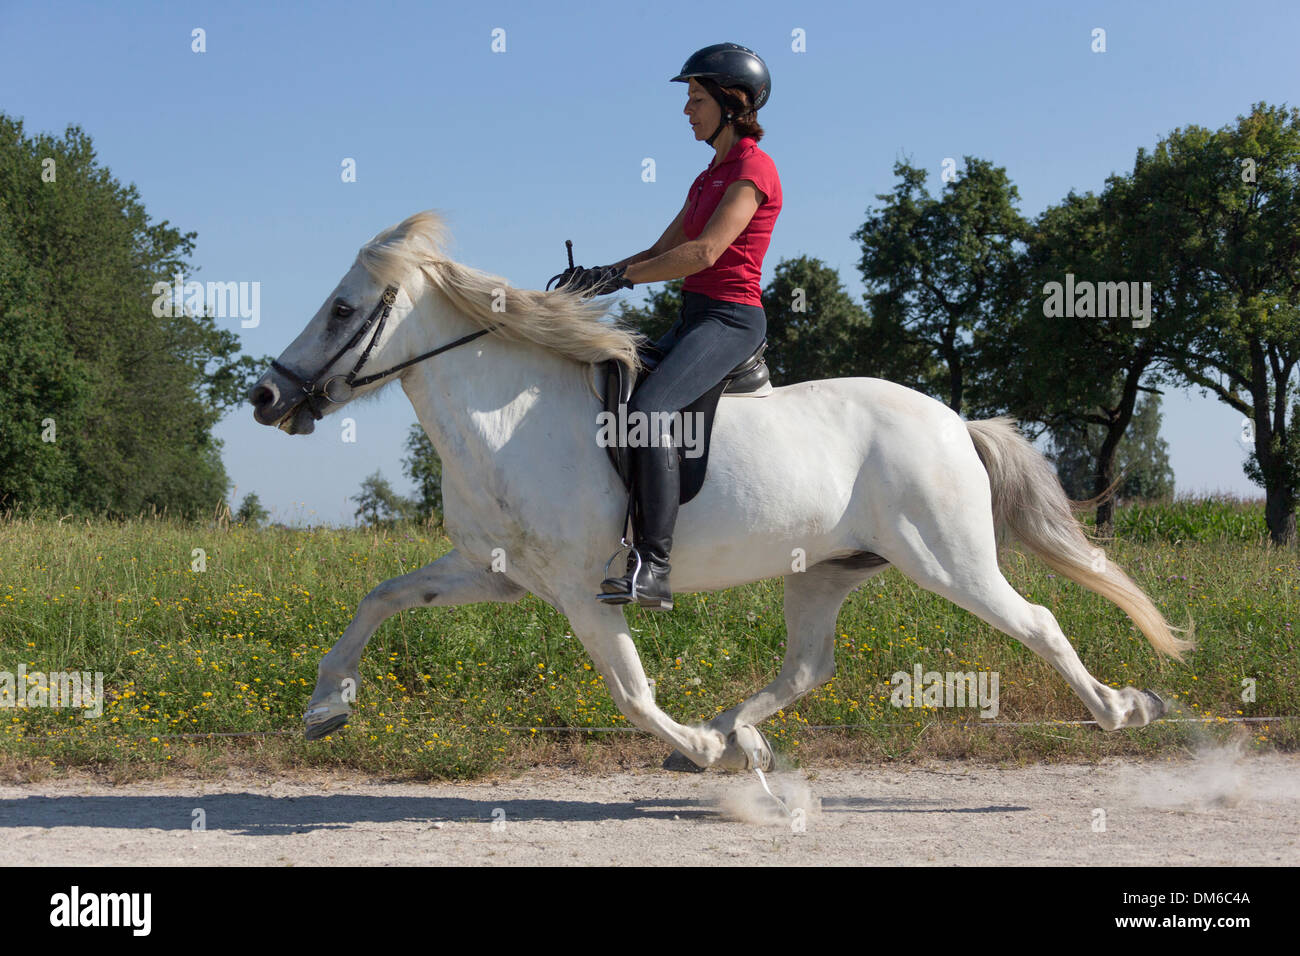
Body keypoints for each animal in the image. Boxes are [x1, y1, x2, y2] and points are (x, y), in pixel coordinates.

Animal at [247, 210, 1192, 772]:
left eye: (342, 311)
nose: (265, 398)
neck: (507, 415)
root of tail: (954, 422)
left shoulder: (584, 592)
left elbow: (630, 691)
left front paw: (697, 747)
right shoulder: (494, 571)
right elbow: (380, 597)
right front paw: (327, 705)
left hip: (949, 560)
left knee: (1038, 623)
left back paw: (1124, 708)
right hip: (828, 571)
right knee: (809, 663)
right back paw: (743, 730)